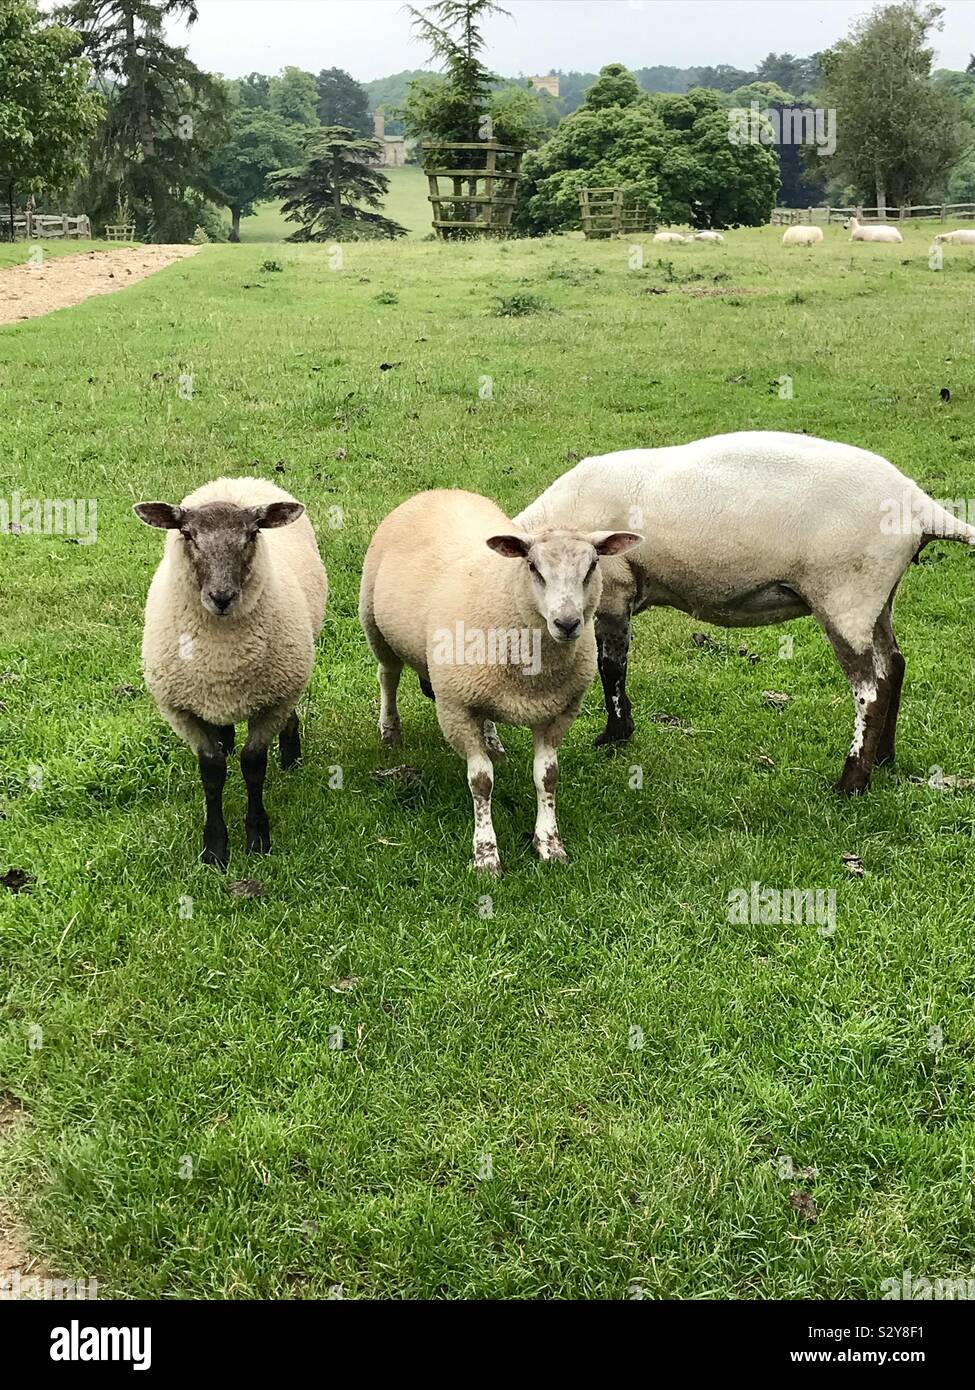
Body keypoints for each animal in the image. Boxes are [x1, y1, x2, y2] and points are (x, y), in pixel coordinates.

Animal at [135, 477, 327, 869]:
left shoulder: (273, 701)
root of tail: (235, 481)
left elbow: (253, 766)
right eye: (187, 534)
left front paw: (257, 838)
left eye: (252, 534)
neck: (223, 660)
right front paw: (215, 848)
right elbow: (212, 772)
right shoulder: (181, 711)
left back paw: (291, 756)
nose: (221, 597)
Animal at [359, 489, 639, 873]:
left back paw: (493, 741)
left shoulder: (557, 711)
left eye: (593, 565)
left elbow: (547, 776)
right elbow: (481, 782)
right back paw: (390, 730)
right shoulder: (456, 708)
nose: (567, 623)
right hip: (375, 625)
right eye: (533, 567)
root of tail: (438, 491)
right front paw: (485, 854)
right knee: (388, 676)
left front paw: (550, 845)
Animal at [516, 431, 975, 796]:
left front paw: (613, 735)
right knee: (894, 665)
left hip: (846, 594)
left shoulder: (614, 593)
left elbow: (611, 668)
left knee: (871, 690)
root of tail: (921, 508)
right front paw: (620, 732)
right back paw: (883, 758)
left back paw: (851, 783)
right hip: (879, 596)